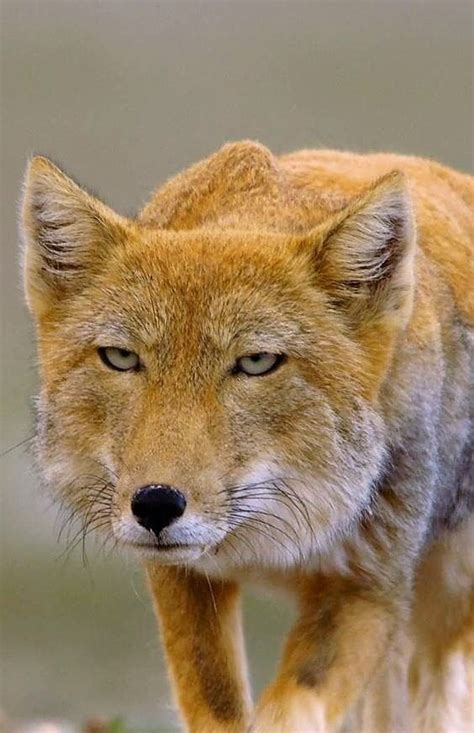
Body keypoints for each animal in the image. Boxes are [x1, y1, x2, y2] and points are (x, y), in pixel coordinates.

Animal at [21, 140, 473, 733]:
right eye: (120, 358)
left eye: (257, 363)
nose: (156, 504)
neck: (269, 544)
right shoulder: (182, 578)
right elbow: (218, 710)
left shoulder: (370, 589)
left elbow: (291, 710)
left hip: (440, 617)